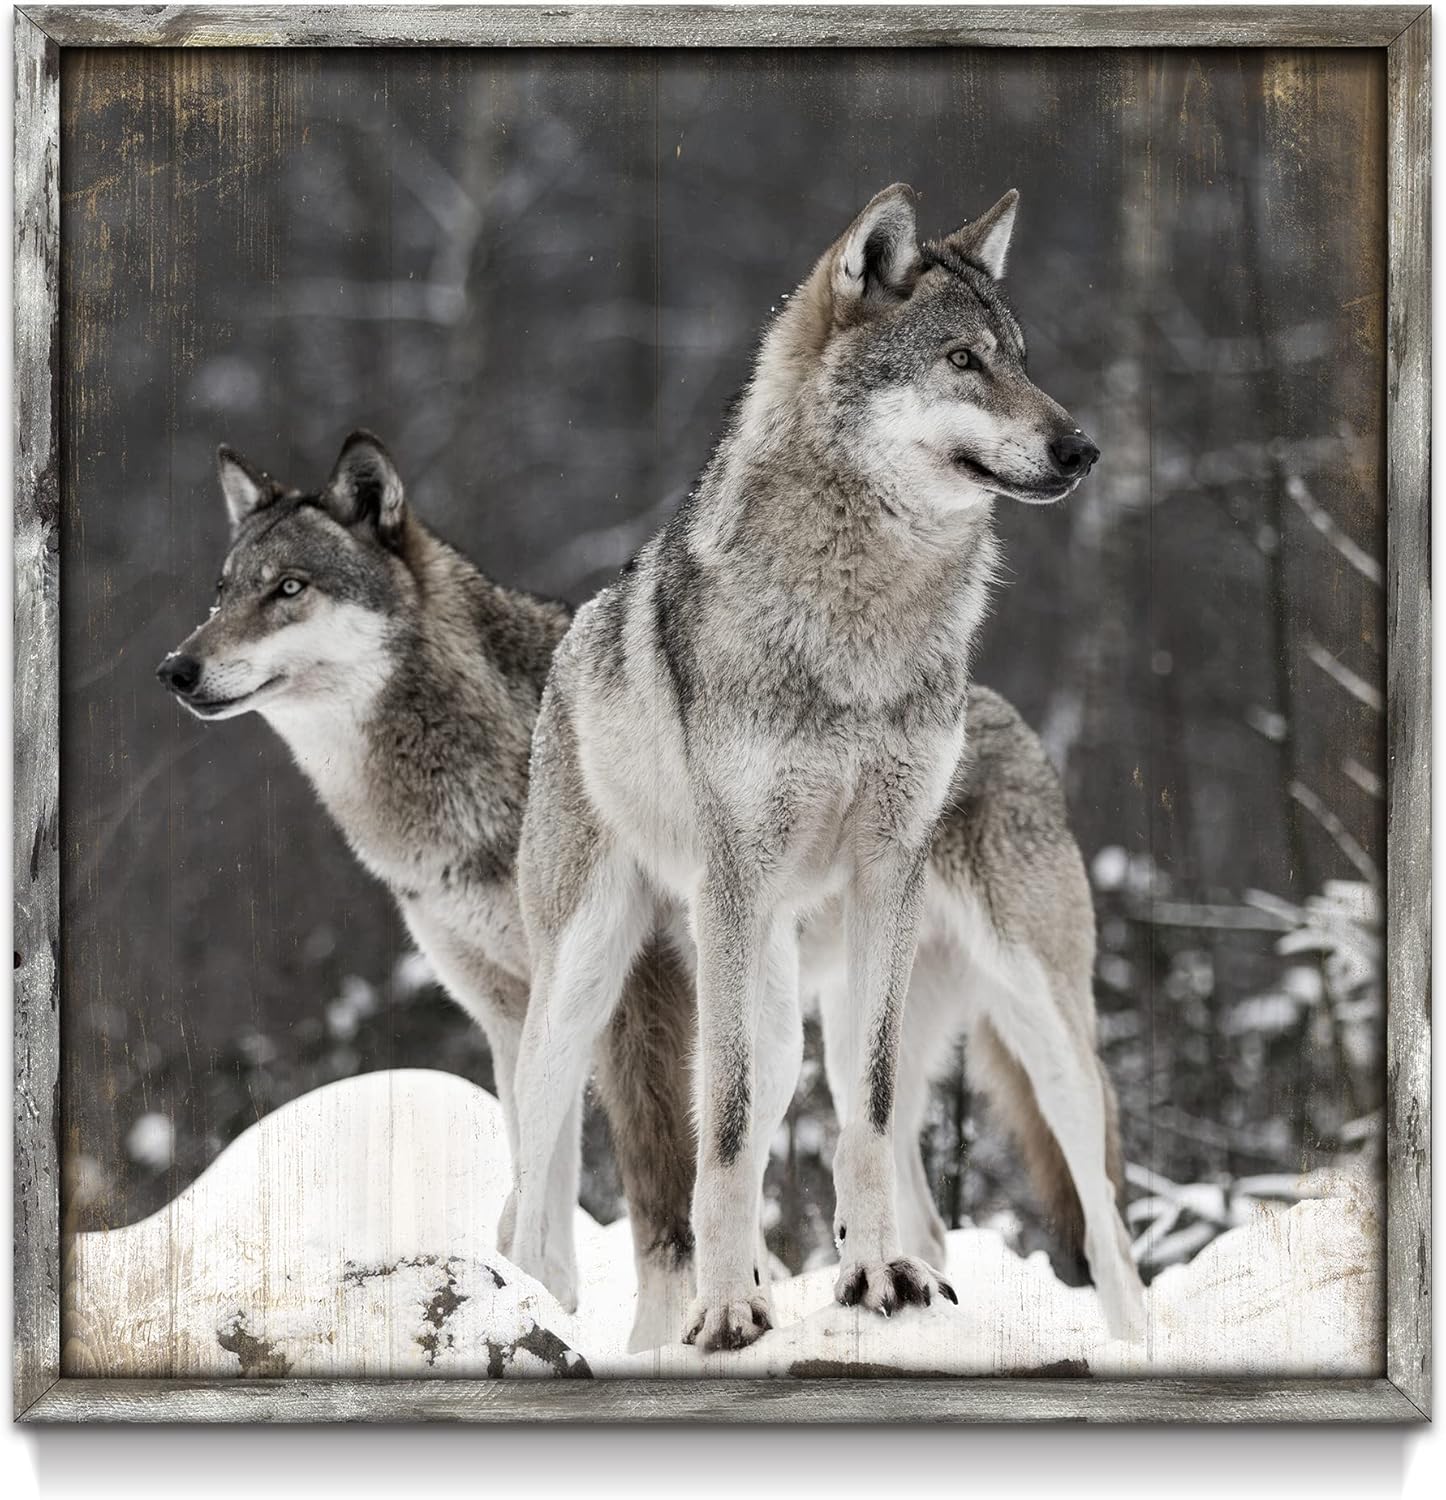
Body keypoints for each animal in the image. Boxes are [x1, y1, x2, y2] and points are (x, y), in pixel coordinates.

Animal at [155, 432, 701, 1351]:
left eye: (289, 587)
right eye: (223, 592)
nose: (176, 668)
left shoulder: (634, 993)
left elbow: (656, 1193)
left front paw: (655, 1342)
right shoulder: (512, 1014)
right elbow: (540, 1172)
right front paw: (536, 1299)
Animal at [508, 184, 1147, 1352]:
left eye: (1022, 359)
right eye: (961, 360)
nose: (1081, 447)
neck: (866, 621)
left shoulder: (888, 874)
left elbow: (875, 1112)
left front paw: (877, 1278)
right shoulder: (734, 886)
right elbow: (721, 1136)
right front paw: (724, 1309)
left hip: (1030, 1025)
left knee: (1104, 1226)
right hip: (610, 988)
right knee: (544, 1184)